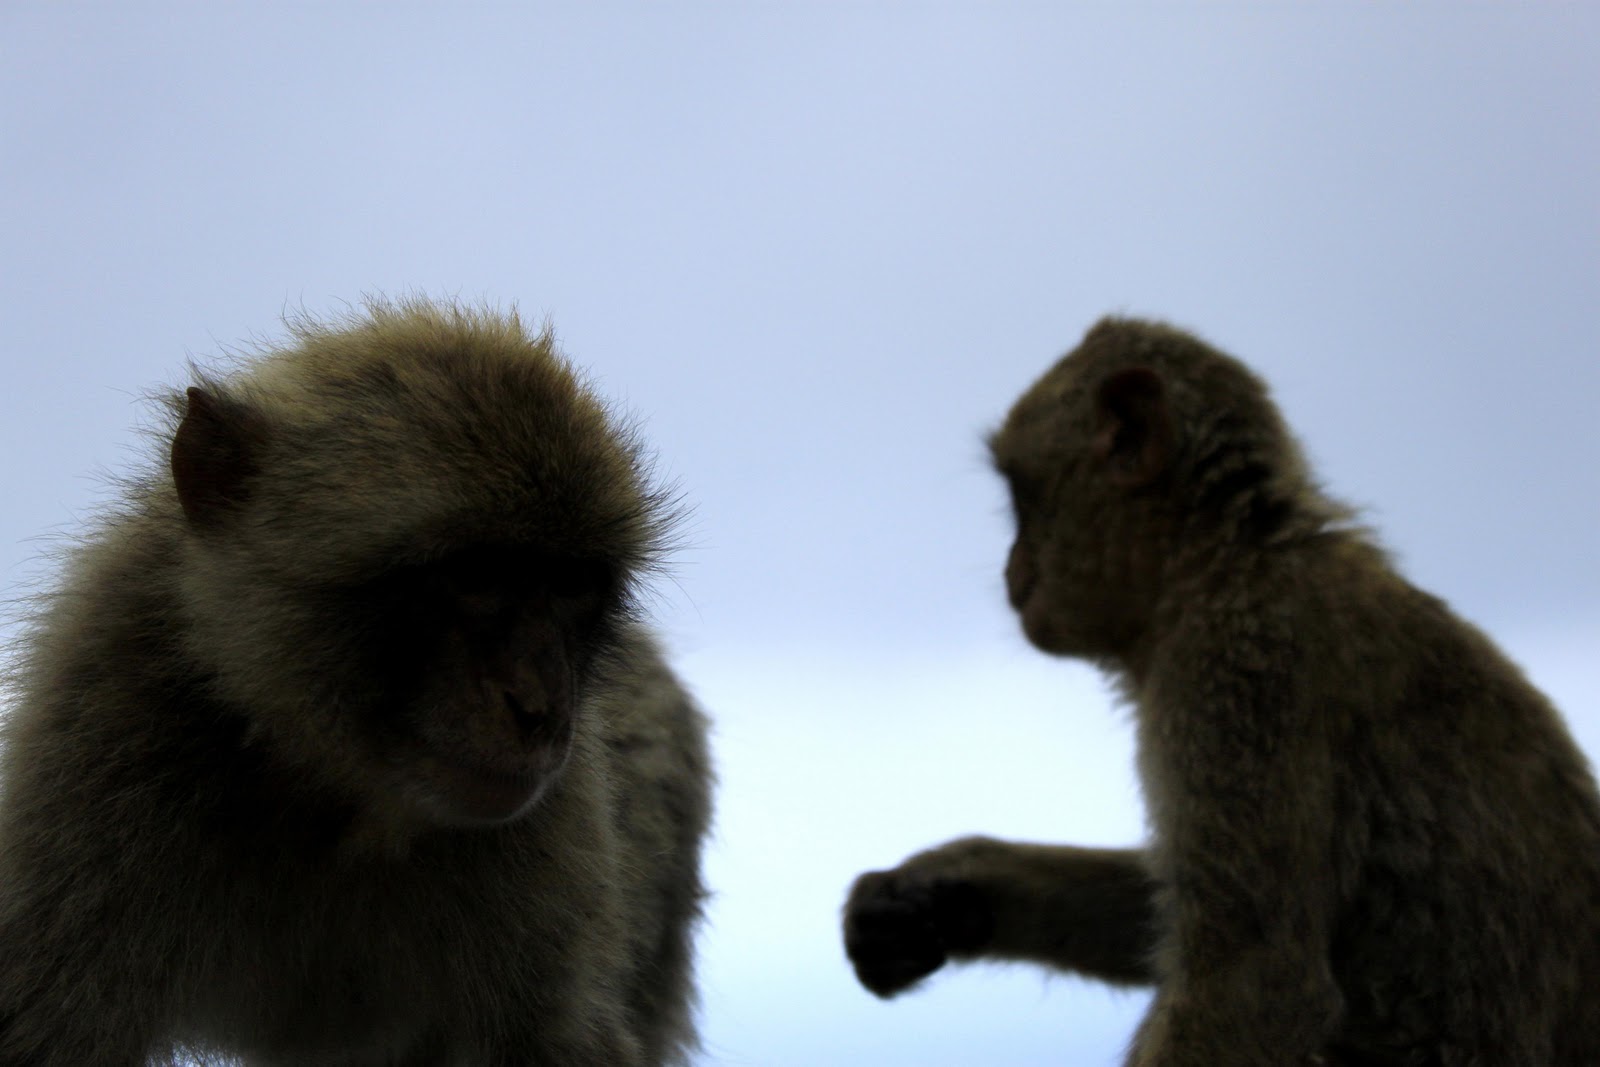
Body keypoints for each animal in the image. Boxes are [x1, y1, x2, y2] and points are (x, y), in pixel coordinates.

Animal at [844, 317, 1600, 1066]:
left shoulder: (1234, 673)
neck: (1220, 561)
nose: (1013, 572)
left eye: (1018, 497)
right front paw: (948, 883)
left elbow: (1254, 987)